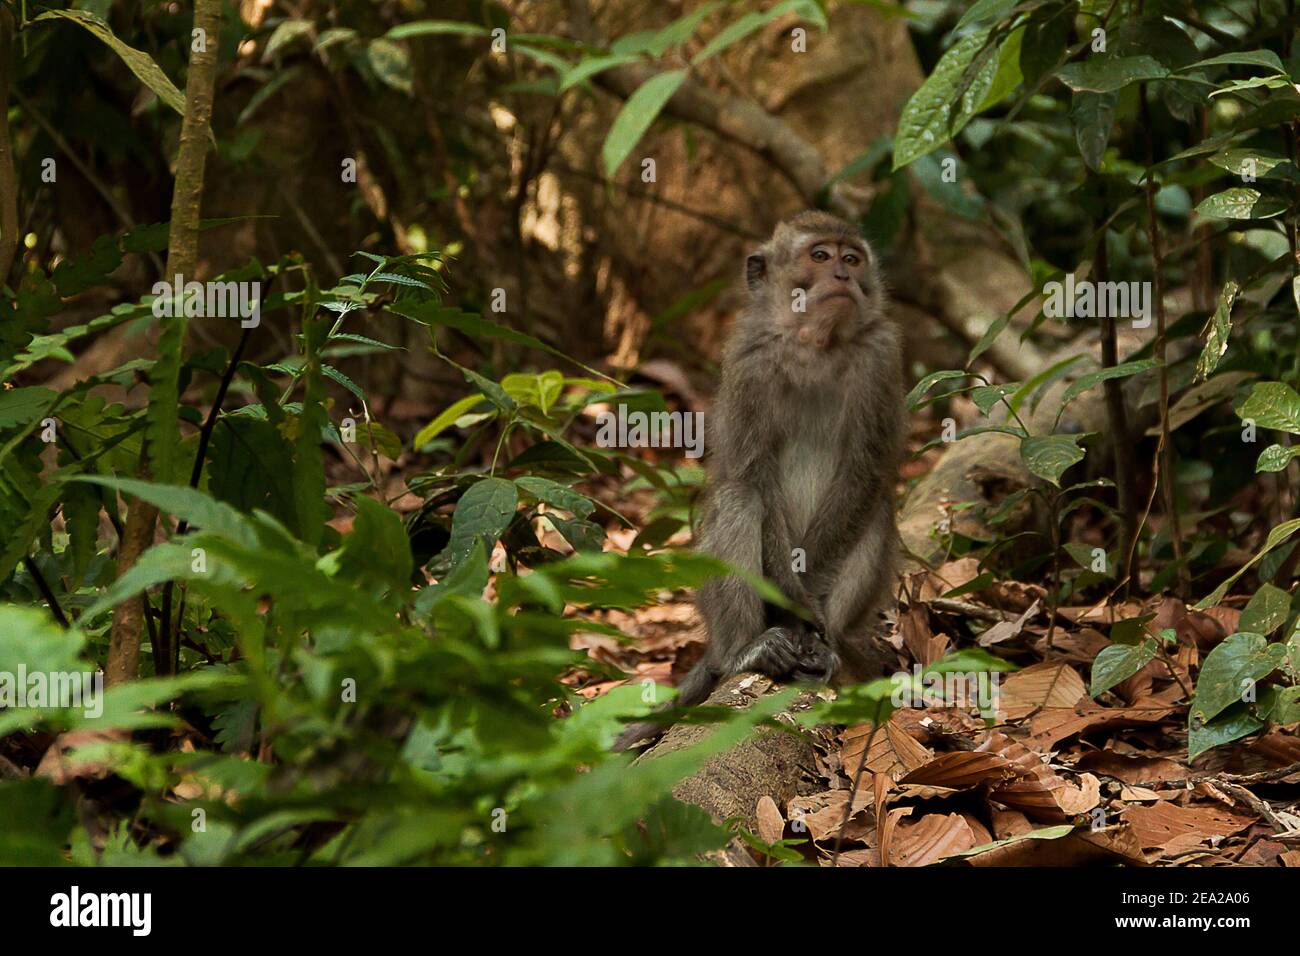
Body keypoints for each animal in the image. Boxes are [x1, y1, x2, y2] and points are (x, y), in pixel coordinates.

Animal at [615, 211, 905, 751]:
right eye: (820, 256)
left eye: (852, 258)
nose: (843, 275)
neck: (815, 344)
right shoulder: (750, 361)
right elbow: (753, 475)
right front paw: (794, 599)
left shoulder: (881, 356)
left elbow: (865, 473)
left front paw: (810, 599)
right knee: (738, 499)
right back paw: (745, 651)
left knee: (874, 507)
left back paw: (830, 647)